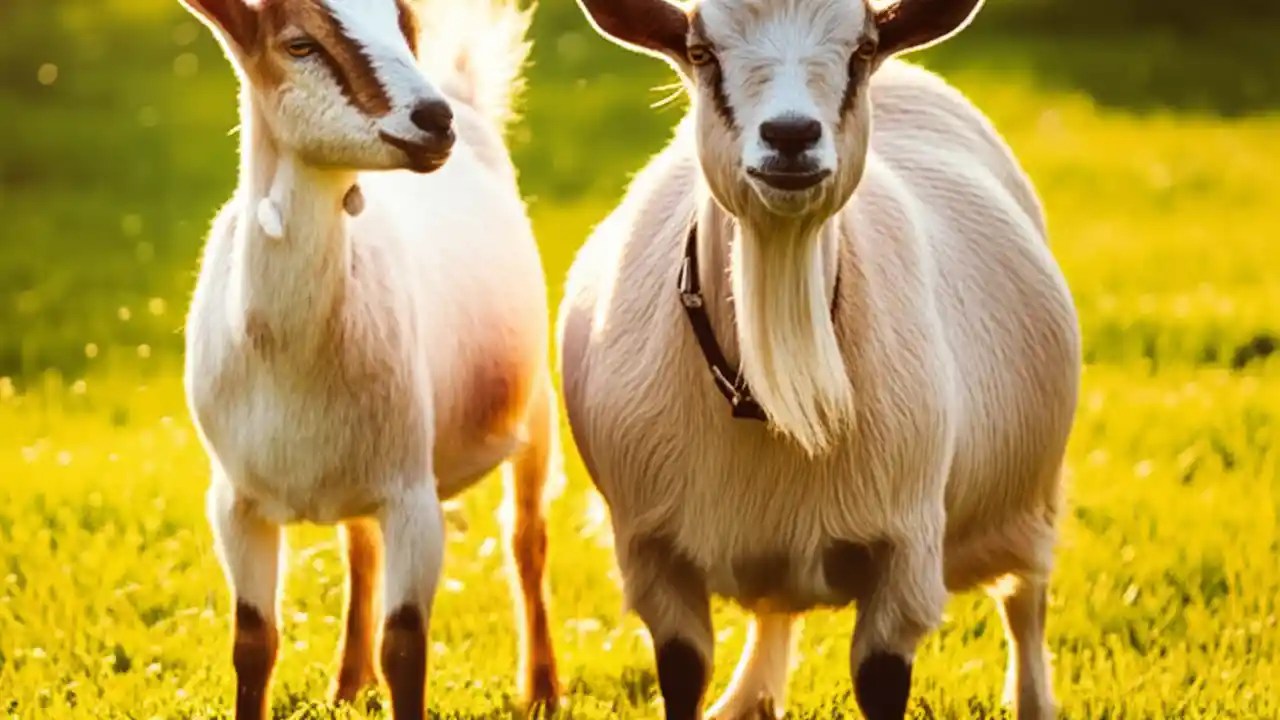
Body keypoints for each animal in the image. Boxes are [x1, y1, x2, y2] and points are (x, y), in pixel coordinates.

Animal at [179, 1, 558, 717]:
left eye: (404, 26)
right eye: (299, 44)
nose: (433, 119)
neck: (290, 363)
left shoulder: (413, 496)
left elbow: (406, 647)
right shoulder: (234, 501)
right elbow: (253, 642)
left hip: (536, 409)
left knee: (526, 538)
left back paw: (545, 689)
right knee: (360, 550)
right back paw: (349, 683)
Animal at [558, 0, 1080, 717]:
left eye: (860, 50)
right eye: (701, 52)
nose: (790, 134)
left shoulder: (904, 553)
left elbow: (882, 681)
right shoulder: (652, 554)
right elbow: (683, 673)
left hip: (1033, 491)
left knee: (1026, 602)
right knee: (775, 608)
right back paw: (750, 694)